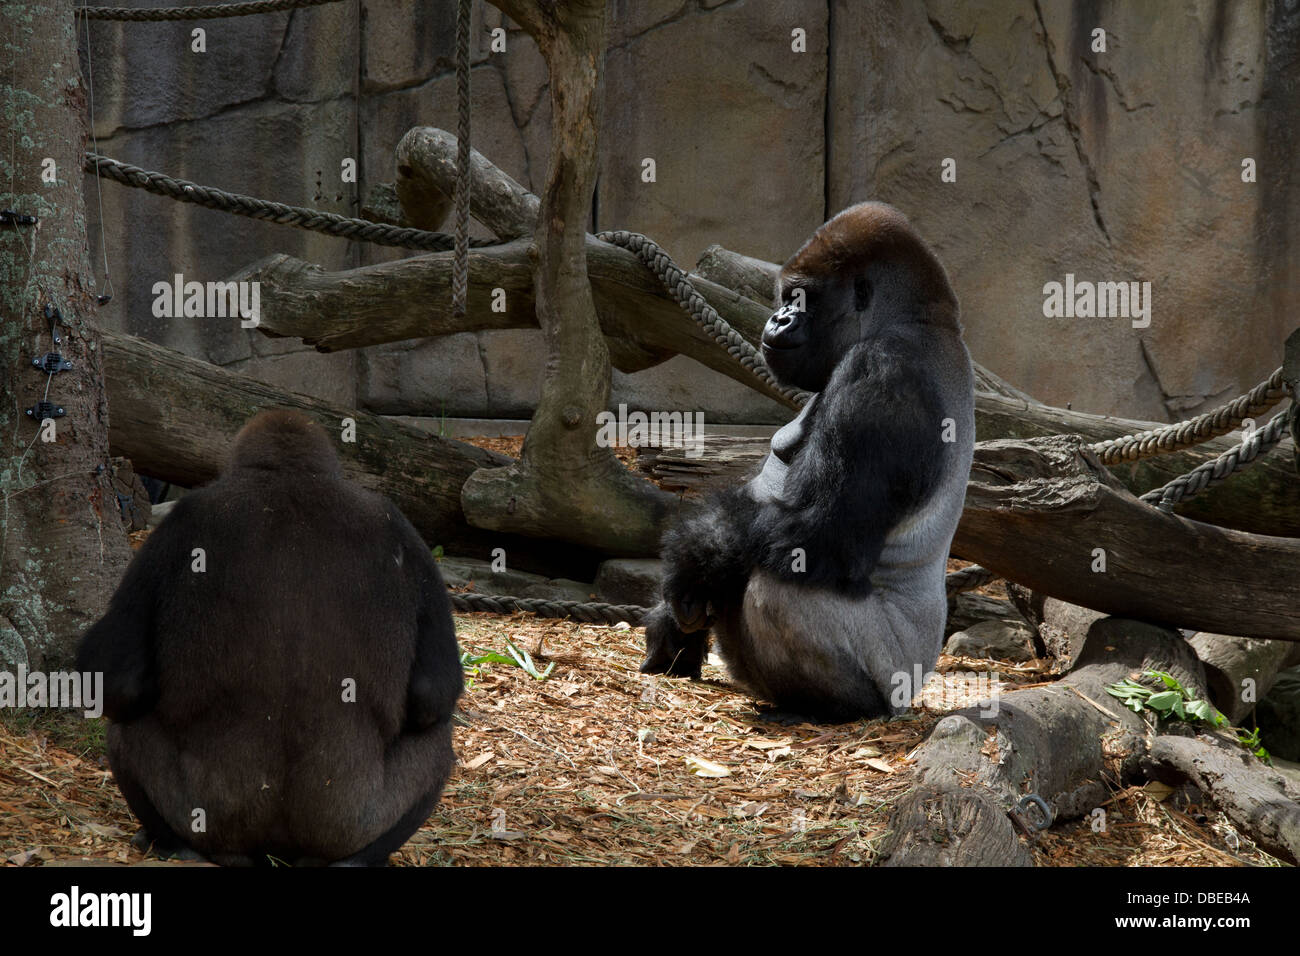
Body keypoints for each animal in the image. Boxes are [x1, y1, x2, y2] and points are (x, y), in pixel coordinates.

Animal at [76, 409, 462, 866]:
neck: (290, 475)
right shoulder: (404, 530)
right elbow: (433, 691)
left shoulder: (176, 526)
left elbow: (115, 679)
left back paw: (175, 843)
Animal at [640, 202, 975, 722]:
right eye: (786, 297)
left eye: (803, 298)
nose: (779, 319)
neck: (923, 322)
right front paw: (668, 622)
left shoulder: (882, 376)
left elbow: (814, 533)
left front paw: (692, 553)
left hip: (895, 679)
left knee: (777, 584)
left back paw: (830, 706)